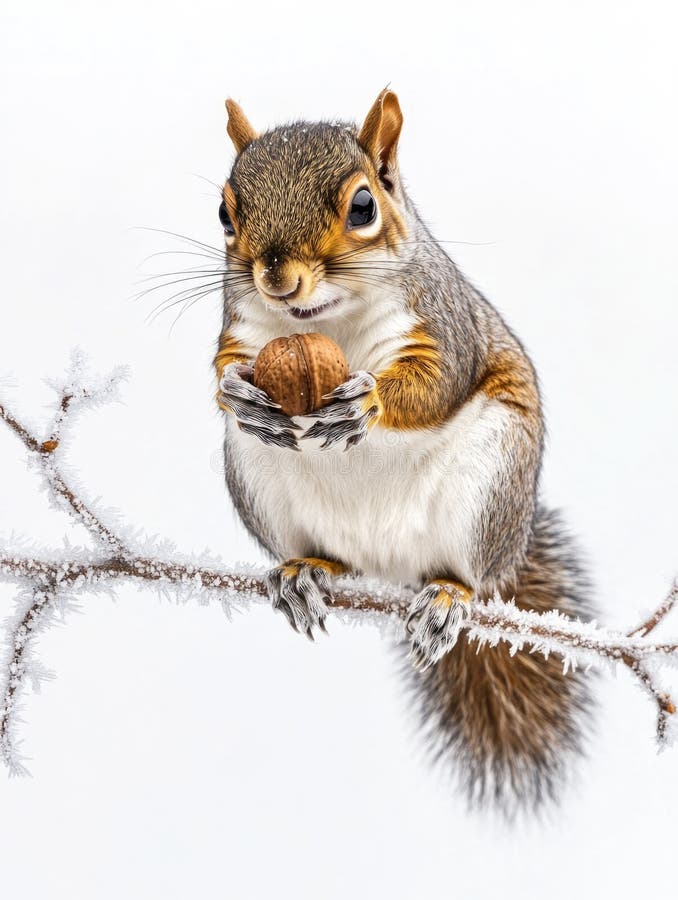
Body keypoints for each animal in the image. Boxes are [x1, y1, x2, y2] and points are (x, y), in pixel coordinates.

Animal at [214, 89, 593, 812]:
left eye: (363, 207)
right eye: (224, 213)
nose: (276, 277)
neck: (322, 323)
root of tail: (392, 569)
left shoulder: (438, 321)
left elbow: (434, 382)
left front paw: (366, 403)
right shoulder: (240, 329)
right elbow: (221, 372)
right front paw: (239, 396)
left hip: (488, 483)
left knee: (472, 576)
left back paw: (448, 598)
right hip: (260, 486)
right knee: (329, 556)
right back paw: (306, 573)